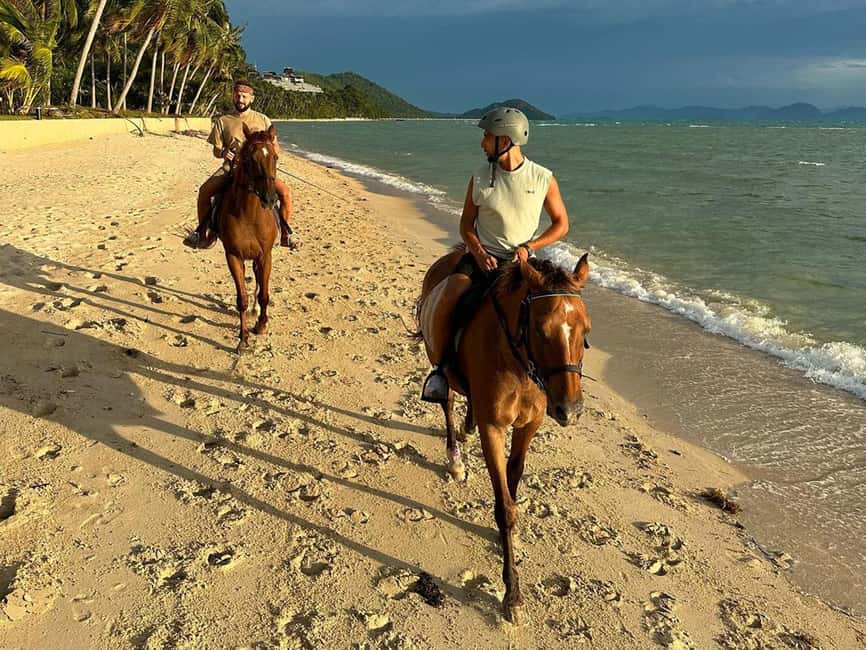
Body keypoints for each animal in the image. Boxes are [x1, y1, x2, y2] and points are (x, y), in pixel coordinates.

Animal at [219, 123, 280, 351]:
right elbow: (242, 298)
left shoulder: (265, 256)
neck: (250, 215)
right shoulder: (233, 256)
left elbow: (264, 294)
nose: (270, 199)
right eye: (250, 159)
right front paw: (243, 338)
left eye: (275, 157)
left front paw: (261, 325)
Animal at [417, 249, 591, 623]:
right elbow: (505, 507)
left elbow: (514, 480)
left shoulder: (529, 425)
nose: (569, 409)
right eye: (540, 329)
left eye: (586, 330)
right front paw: (512, 596)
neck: (517, 362)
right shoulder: (494, 429)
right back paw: (455, 459)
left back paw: (467, 427)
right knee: (447, 401)